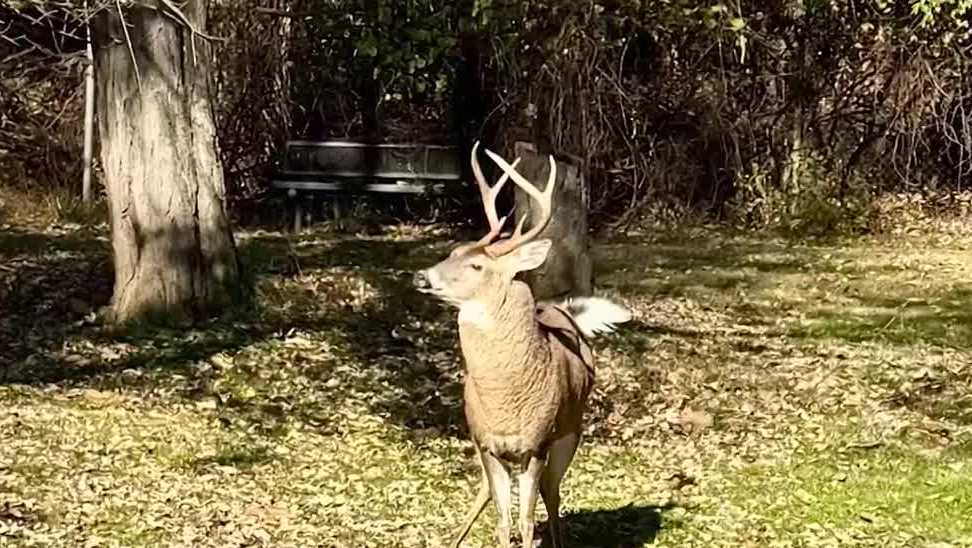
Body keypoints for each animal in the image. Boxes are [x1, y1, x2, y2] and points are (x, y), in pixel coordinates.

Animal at [413, 142, 632, 548]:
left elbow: (528, 519)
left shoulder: (537, 444)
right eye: (452, 252)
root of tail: (565, 310)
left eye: (477, 266)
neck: (507, 398)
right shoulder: (486, 442)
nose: (422, 276)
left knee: (553, 493)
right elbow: (503, 518)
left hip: (570, 430)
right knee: (488, 491)